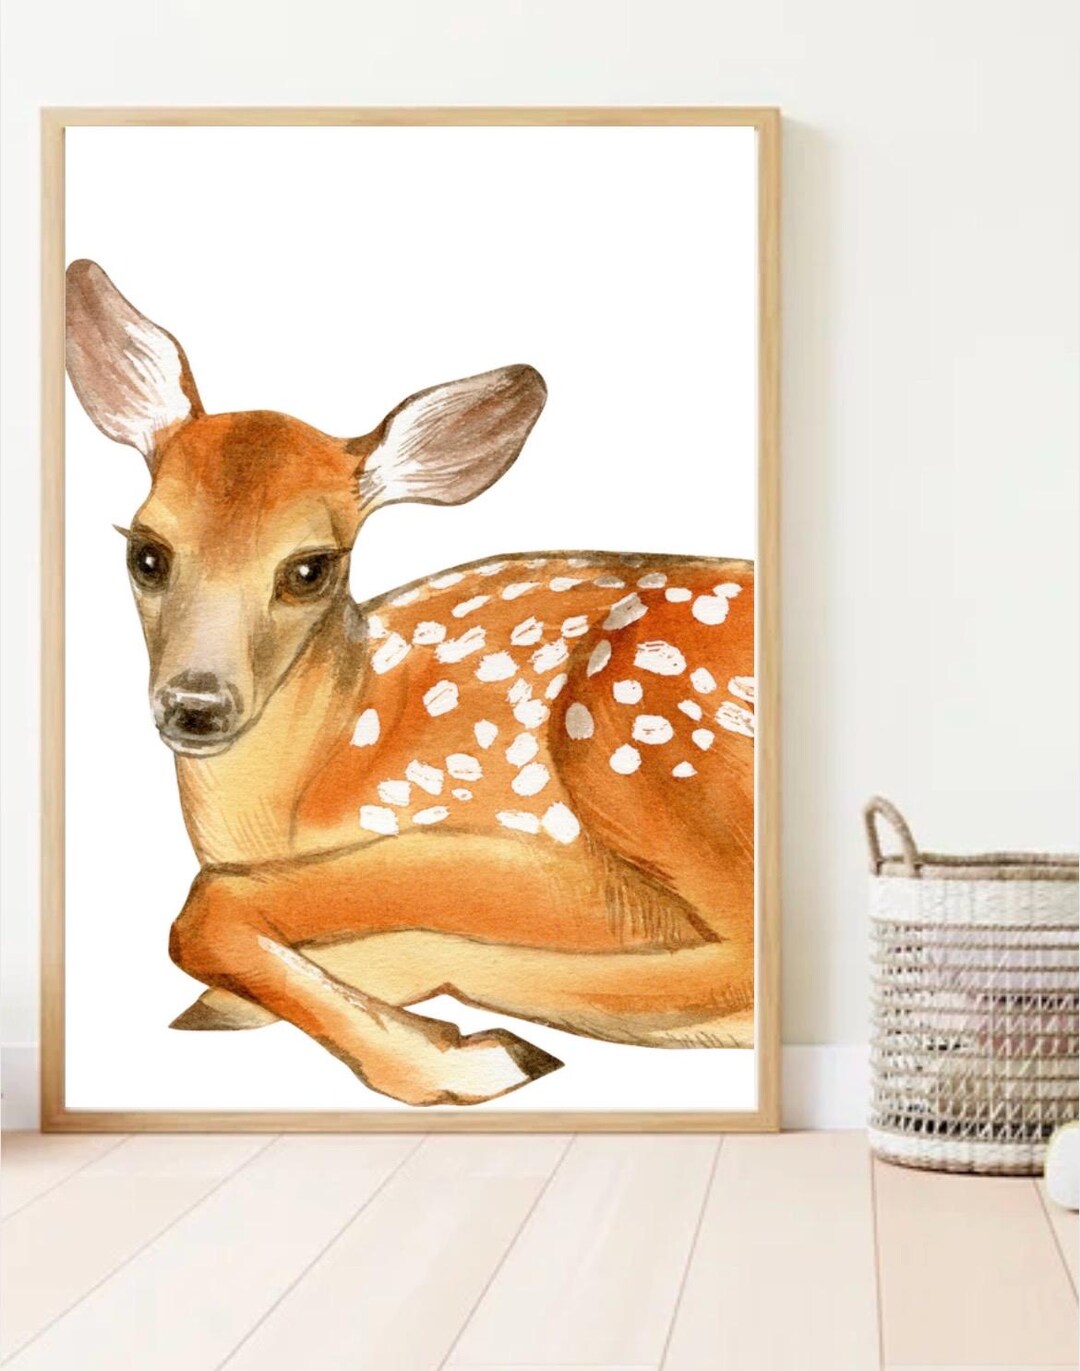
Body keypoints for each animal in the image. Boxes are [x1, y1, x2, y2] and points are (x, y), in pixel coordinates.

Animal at [64, 259, 756, 1107]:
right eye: (146, 551)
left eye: (310, 567)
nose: (196, 703)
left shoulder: (538, 842)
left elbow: (209, 903)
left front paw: (458, 1058)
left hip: (634, 736)